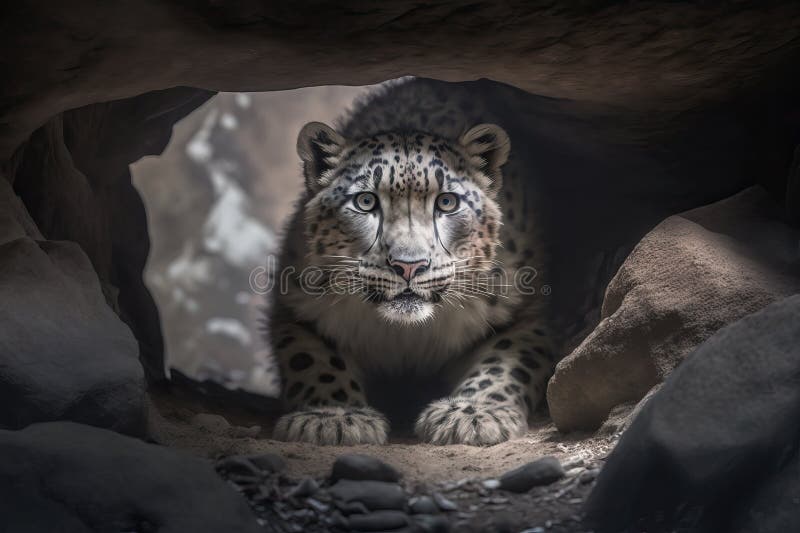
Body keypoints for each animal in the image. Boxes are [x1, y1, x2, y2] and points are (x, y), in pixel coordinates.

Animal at [267, 78, 555, 446]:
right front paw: (333, 417)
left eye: (447, 202)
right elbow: (315, 362)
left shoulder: (523, 313)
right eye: (365, 201)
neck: (405, 337)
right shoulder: (298, 310)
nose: (409, 265)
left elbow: (504, 361)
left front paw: (473, 414)